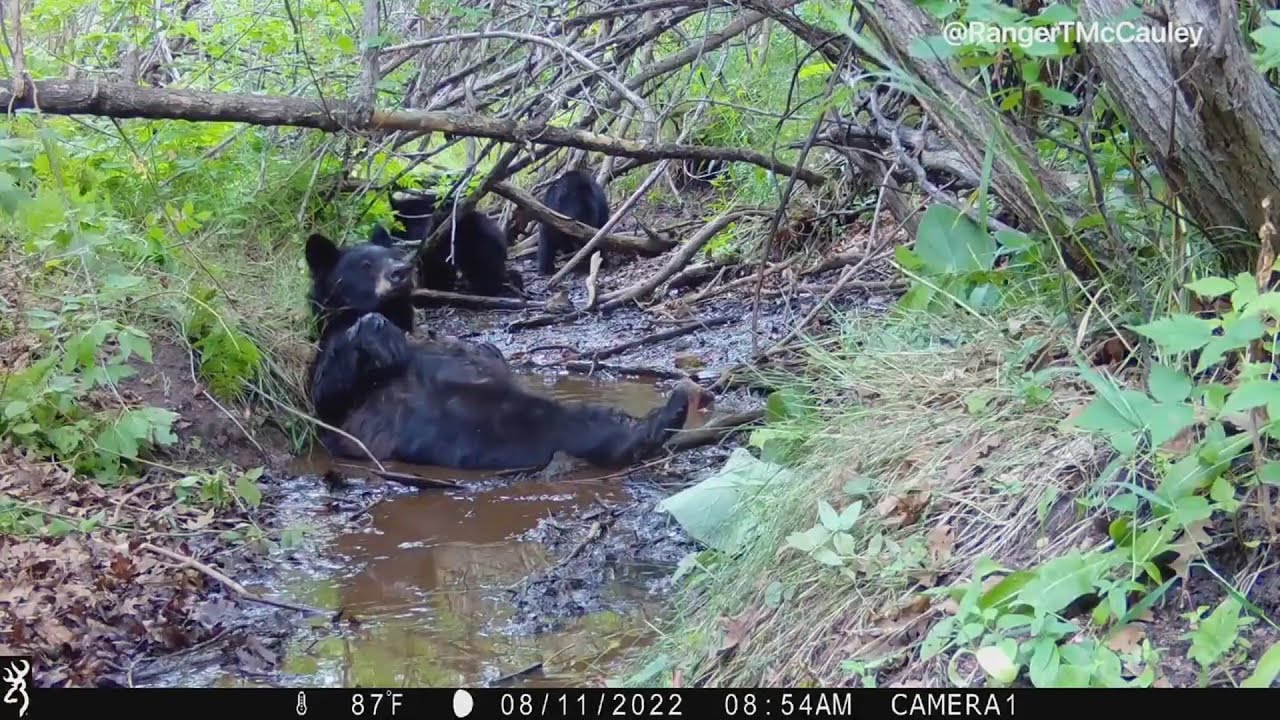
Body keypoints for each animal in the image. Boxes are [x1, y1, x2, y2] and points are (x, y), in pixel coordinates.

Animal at [303, 232, 700, 471]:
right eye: (365, 264)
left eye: (394, 253)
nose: (401, 271)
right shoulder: (339, 381)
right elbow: (326, 391)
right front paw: (379, 334)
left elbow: (476, 351)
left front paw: (483, 347)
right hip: (478, 426)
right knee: (563, 425)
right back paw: (660, 418)